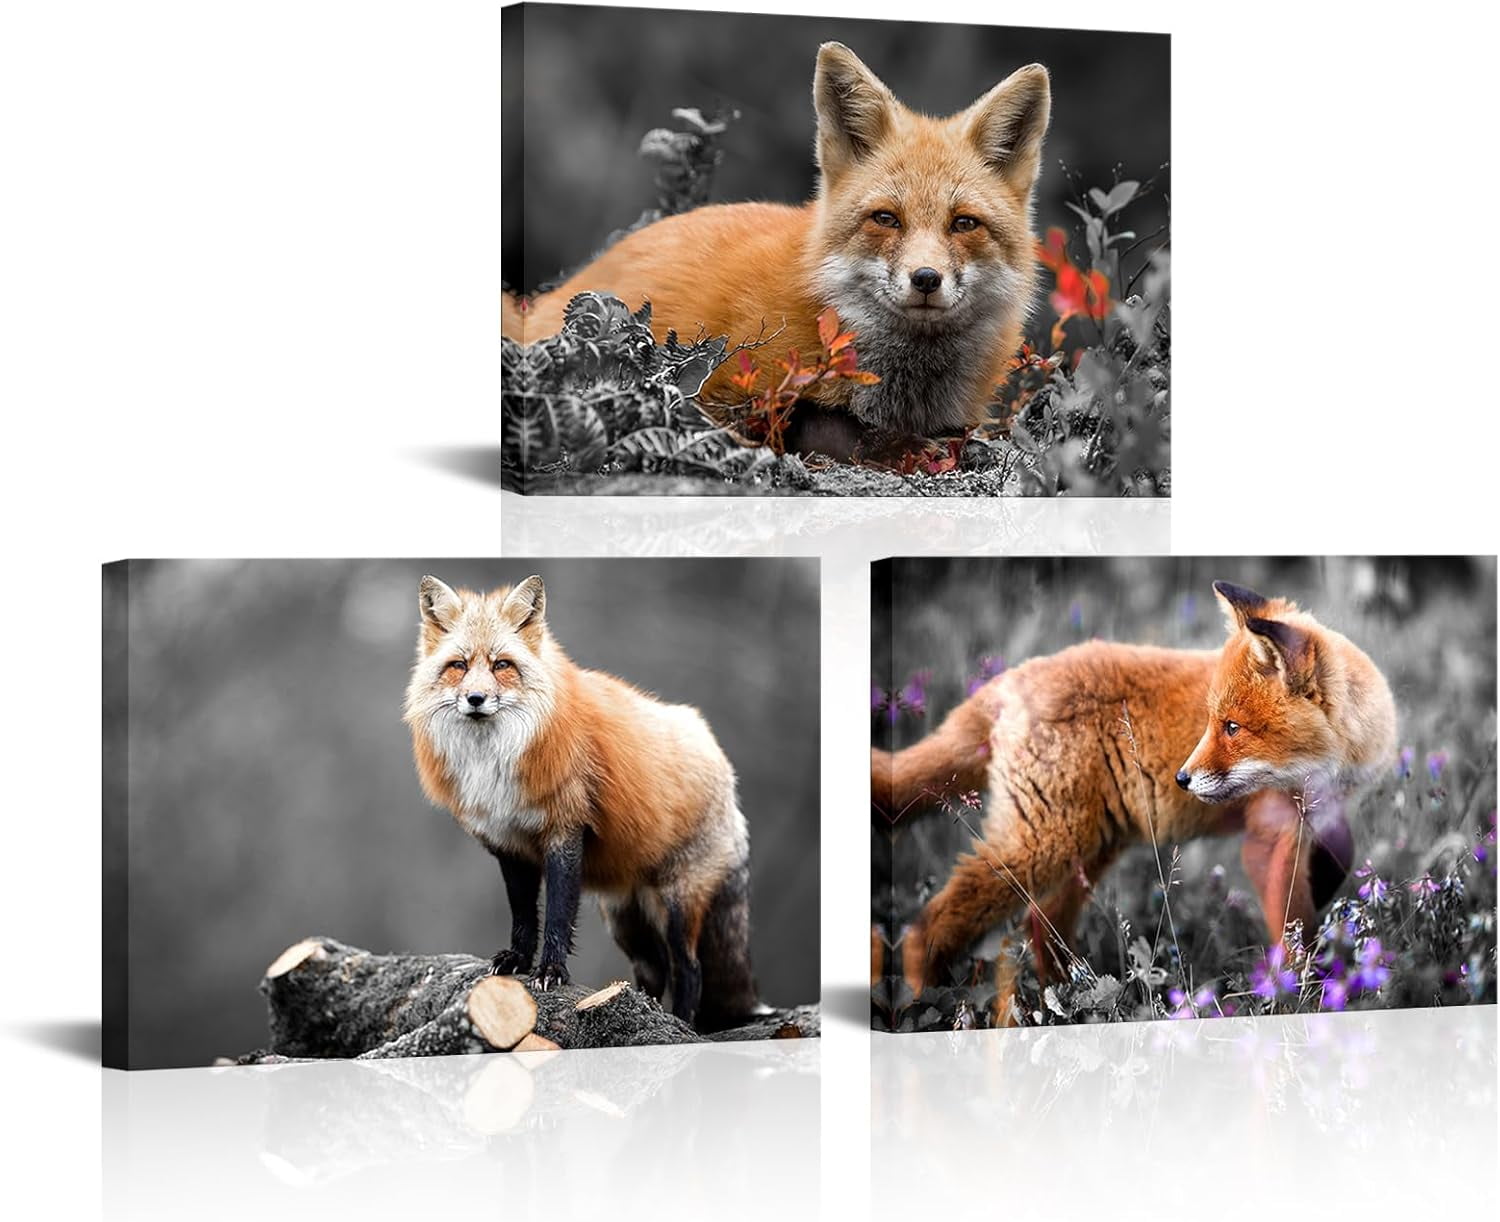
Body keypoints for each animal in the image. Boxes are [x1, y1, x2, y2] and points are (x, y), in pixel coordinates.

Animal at [403, 573, 764, 1031]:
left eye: (502, 665)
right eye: (459, 666)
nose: (476, 699)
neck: (494, 761)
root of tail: (718, 756)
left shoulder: (565, 831)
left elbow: (557, 914)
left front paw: (551, 971)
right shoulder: (508, 844)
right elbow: (524, 916)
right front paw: (518, 960)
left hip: (678, 904)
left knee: (689, 968)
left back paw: (682, 1025)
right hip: (626, 919)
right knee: (653, 969)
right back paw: (642, 1011)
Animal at [872, 580, 1397, 1002]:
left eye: (1232, 727)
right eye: (1214, 724)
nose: (1182, 779)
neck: (1336, 760)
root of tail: (1008, 678)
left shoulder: (1324, 814)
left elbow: (1340, 859)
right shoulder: (1268, 838)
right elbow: (1293, 922)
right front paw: (1302, 991)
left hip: (1089, 849)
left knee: (1040, 924)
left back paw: (1064, 998)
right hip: (1044, 847)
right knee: (928, 929)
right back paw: (926, 1004)